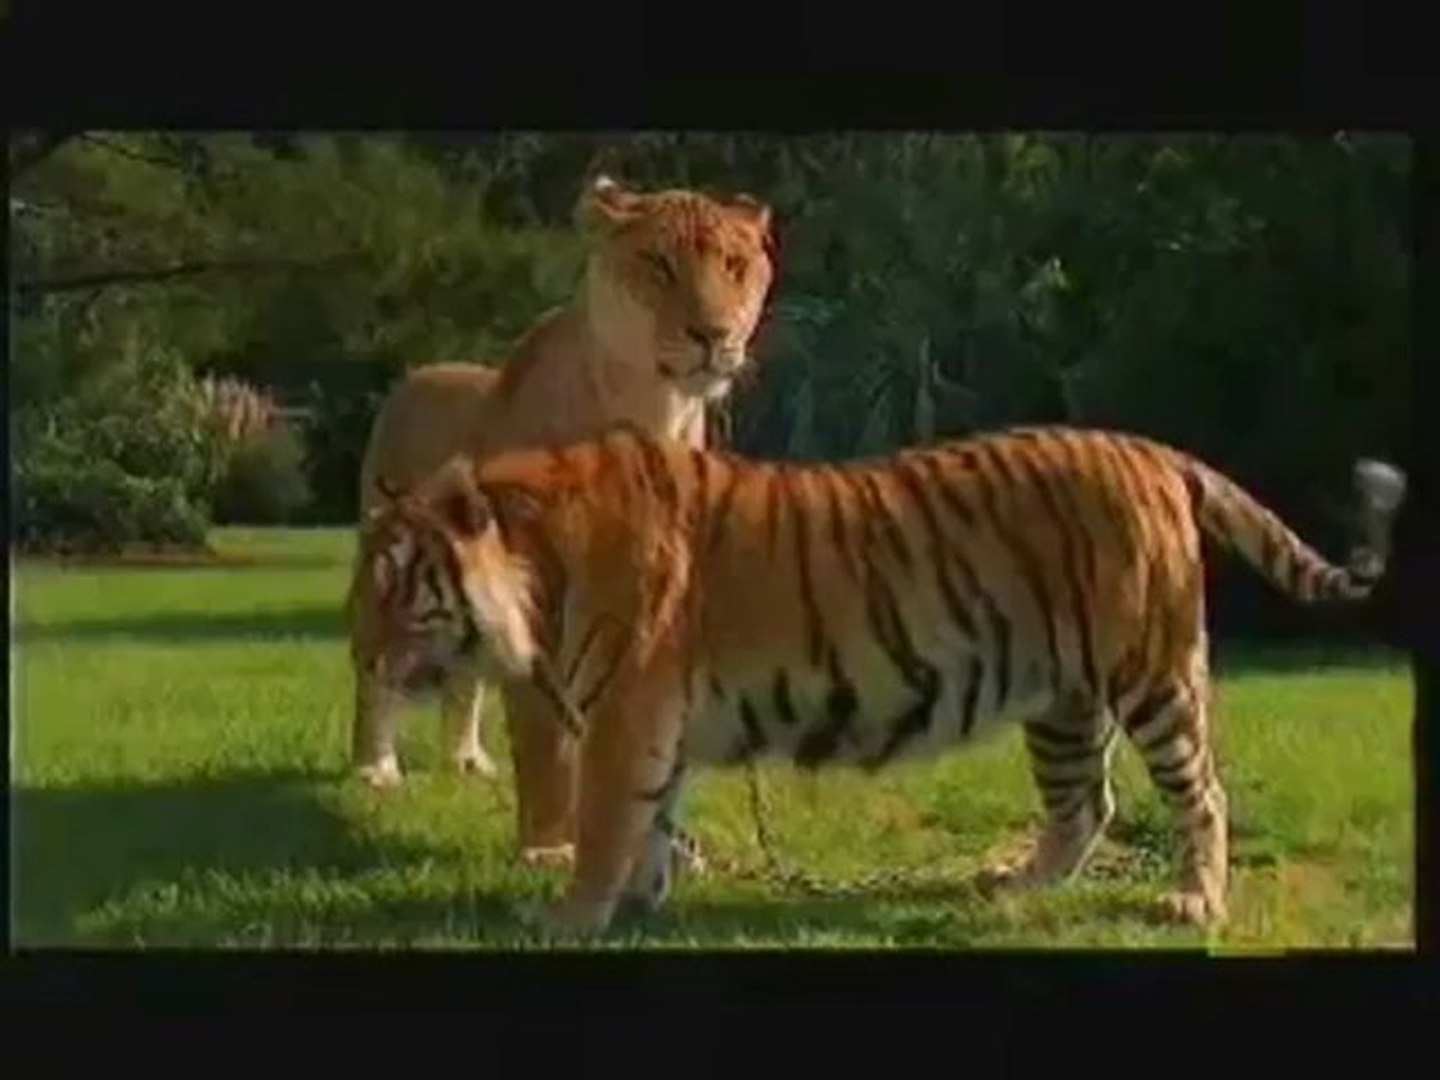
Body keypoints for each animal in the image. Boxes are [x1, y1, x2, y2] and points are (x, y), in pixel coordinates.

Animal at [347, 173, 776, 872]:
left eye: (735, 266)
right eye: (658, 264)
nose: (712, 333)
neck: (654, 409)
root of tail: (420, 375)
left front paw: (660, 850)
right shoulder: (539, 599)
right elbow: (547, 737)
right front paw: (550, 847)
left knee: (466, 681)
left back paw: (467, 760)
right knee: (374, 673)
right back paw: (375, 769)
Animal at [347, 421, 1405, 938]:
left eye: (396, 588)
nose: (361, 657)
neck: (536, 560)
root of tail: (1154, 452)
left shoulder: (624, 716)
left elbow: (610, 823)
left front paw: (571, 915)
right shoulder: (653, 723)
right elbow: (654, 821)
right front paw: (643, 903)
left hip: (1153, 675)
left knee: (1202, 793)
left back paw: (1195, 903)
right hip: (1061, 698)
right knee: (1085, 805)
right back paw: (1013, 886)